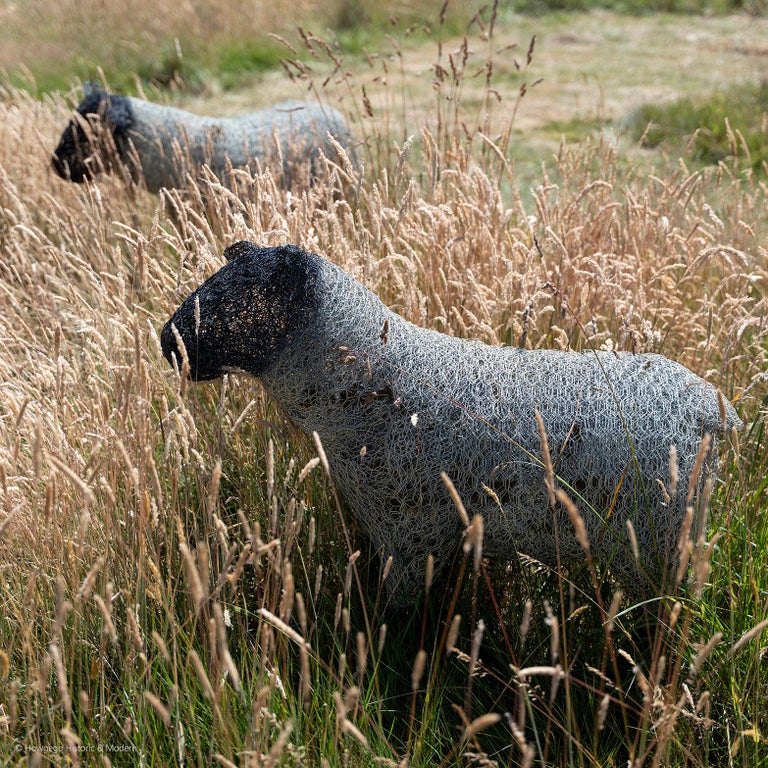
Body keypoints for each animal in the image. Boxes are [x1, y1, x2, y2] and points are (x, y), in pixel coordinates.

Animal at [161, 241, 742, 608]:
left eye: (239, 297)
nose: (167, 342)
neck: (384, 373)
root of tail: (710, 408)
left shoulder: (408, 540)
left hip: (659, 549)